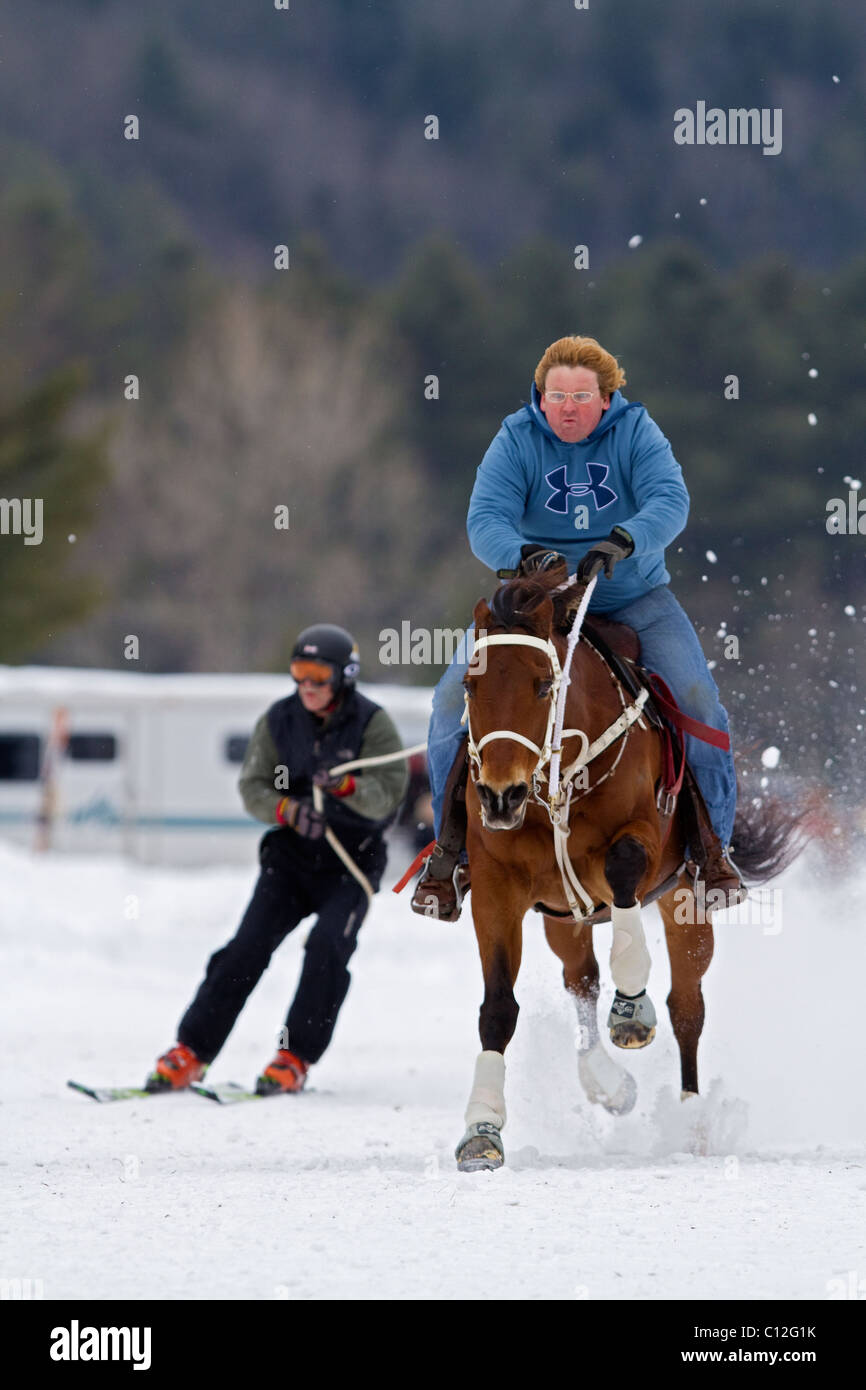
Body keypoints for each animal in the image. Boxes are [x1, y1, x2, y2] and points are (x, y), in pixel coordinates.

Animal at [458, 569, 800, 1167]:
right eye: (471, 688)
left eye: (543, 686)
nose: (500, 796)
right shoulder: (496, 889)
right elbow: (498, 1006)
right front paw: (482, 1130)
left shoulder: (640, 844)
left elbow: (622, 873)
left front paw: (632, 1011)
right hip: (563, 917)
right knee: (582, 979)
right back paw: (607, 1084)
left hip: (686, 900)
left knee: (686, 1007)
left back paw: (690, 1122)